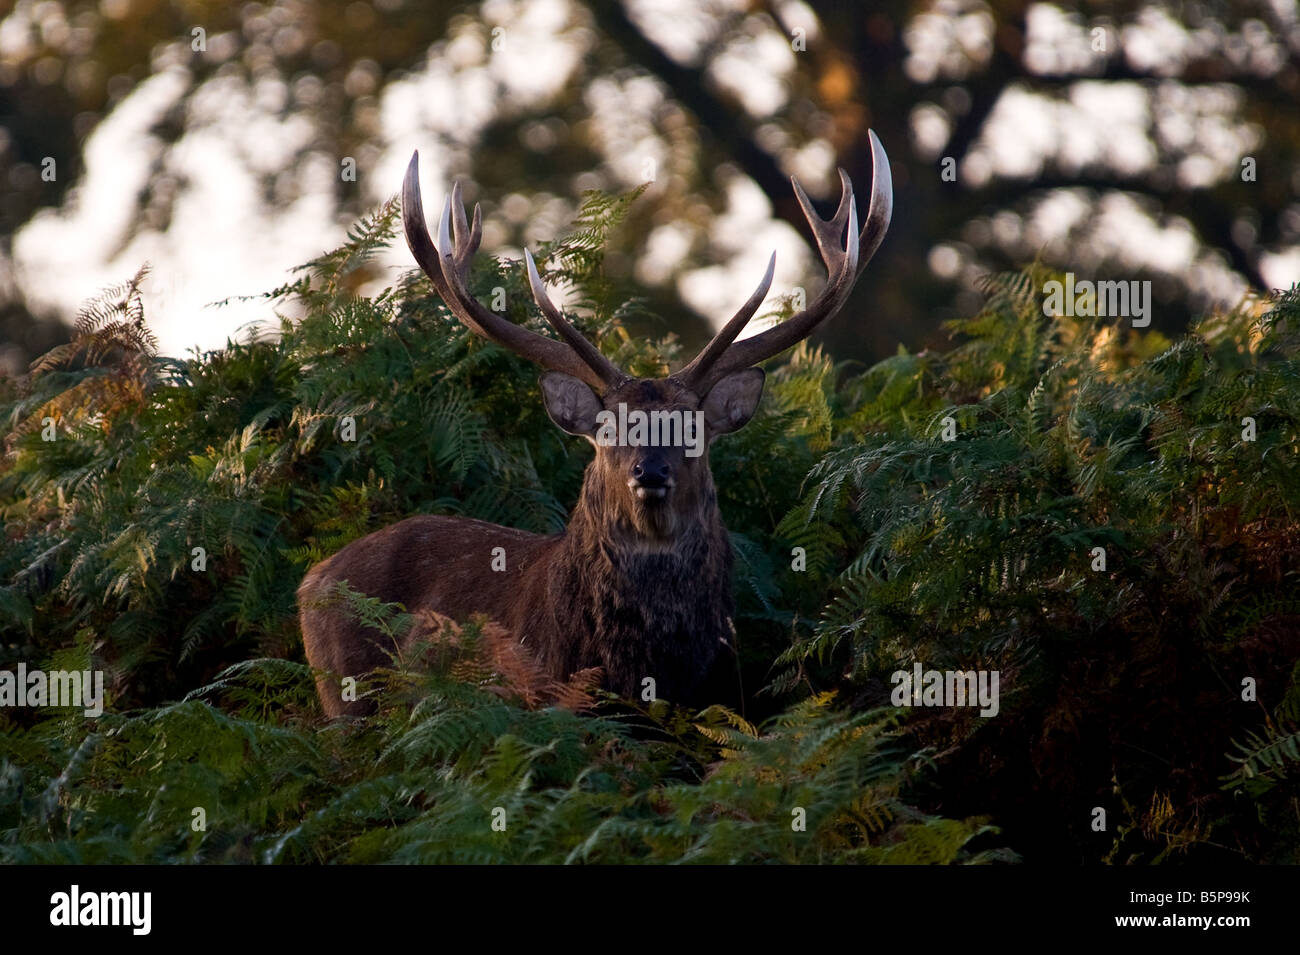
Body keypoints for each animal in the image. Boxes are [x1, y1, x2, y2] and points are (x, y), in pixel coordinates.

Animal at [298, 131, 892, 717]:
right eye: (608, 431)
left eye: (692, 430)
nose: (649, 474)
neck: (645, 674)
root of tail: (311, 579)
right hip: (343, 698)